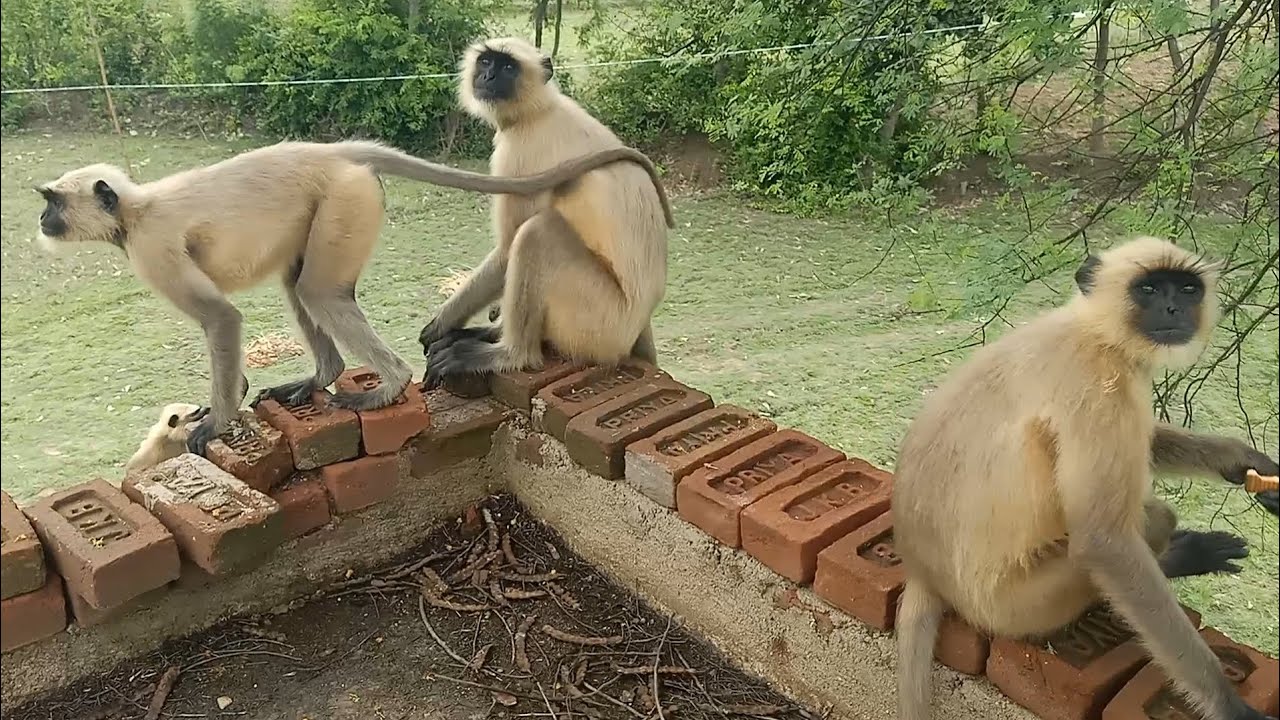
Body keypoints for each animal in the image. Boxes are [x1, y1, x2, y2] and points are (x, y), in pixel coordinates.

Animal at [35, 139, 674, 456]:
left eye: (52, 201)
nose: (41, 219)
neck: (135, 209)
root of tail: (337, 152)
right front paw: (227, 399)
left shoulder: (152, 249)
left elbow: (221, 317)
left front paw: (216, 421)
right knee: (299, 281)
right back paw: (324, 376)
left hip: (347, 199)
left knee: (316, 289)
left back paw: (388, 385)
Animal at [419, 37, 674, 387]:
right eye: (486, 61)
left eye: (508, 67)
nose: (487, 77)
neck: (539, 110)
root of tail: (637, 326)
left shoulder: (519, 152)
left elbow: (506, 250)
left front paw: (440, 324)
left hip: (599, 323)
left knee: (537, 234)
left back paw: (511, 353)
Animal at [891, 236, 1280, 720]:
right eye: (1149, 289)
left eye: (1187, 289)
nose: (1173, 309)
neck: (1095, 331)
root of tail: (922, 571)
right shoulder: (1098, 387)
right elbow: (1104, 542)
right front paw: (1228, 704)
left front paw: (1245, 462)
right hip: (1018, 604)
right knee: (1147, 522)